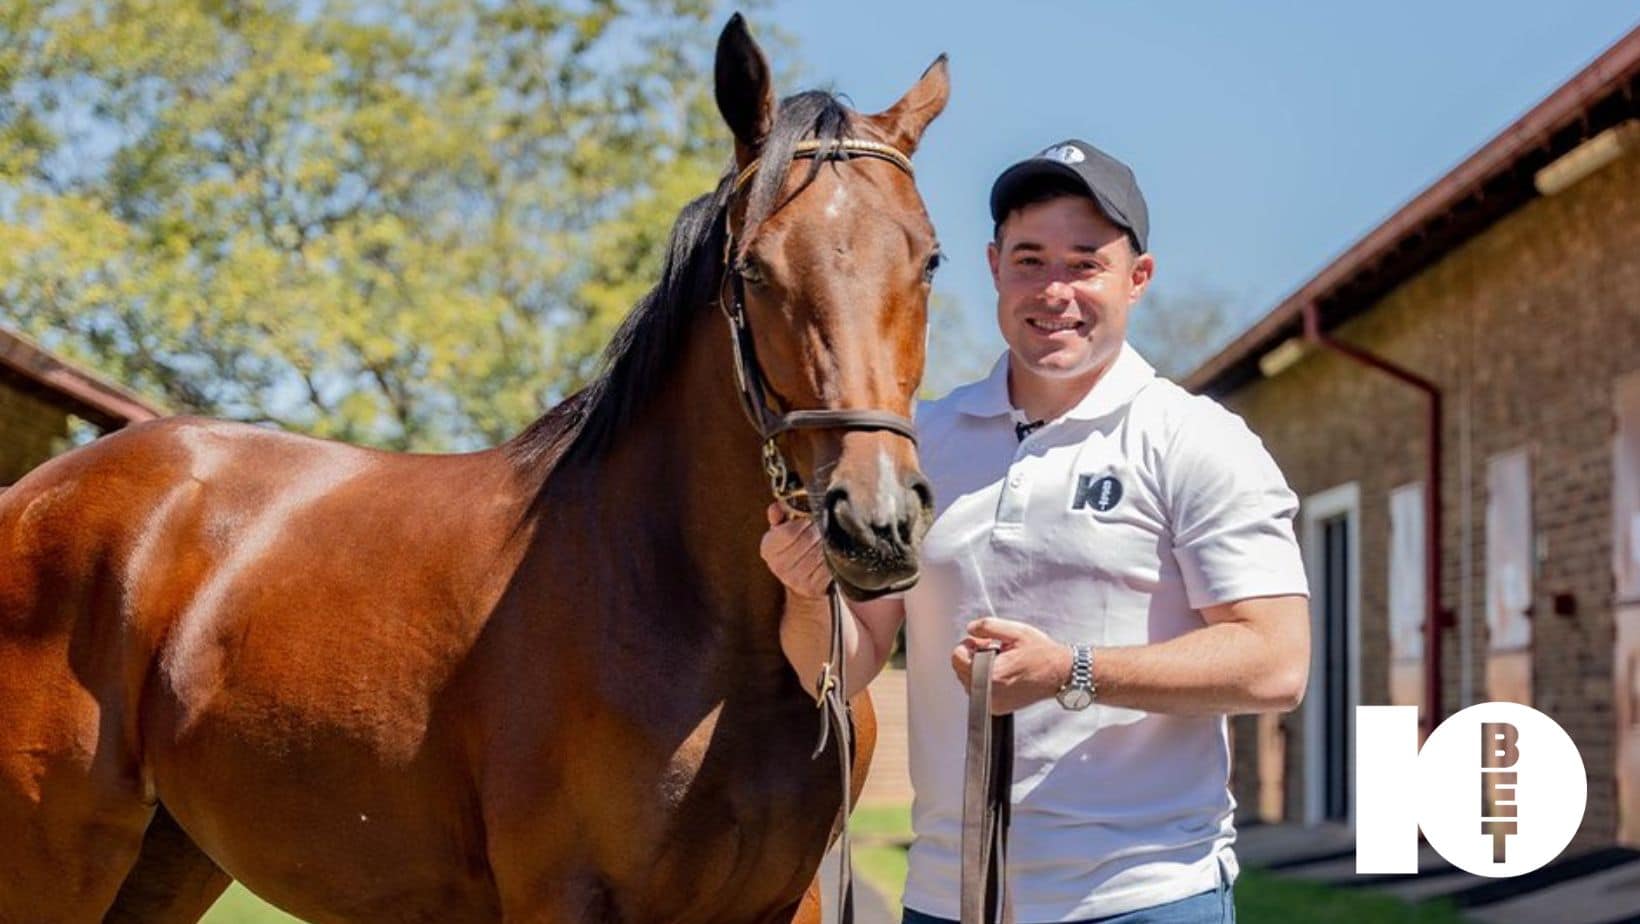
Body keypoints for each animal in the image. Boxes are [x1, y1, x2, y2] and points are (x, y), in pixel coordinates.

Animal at [0, 15, 947, 923]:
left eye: (929, 259)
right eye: (752, 267)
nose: (876, 521)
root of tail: (34, 496)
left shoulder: (790, 901)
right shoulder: (562, 897)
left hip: (166, 859)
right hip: (55, 865)